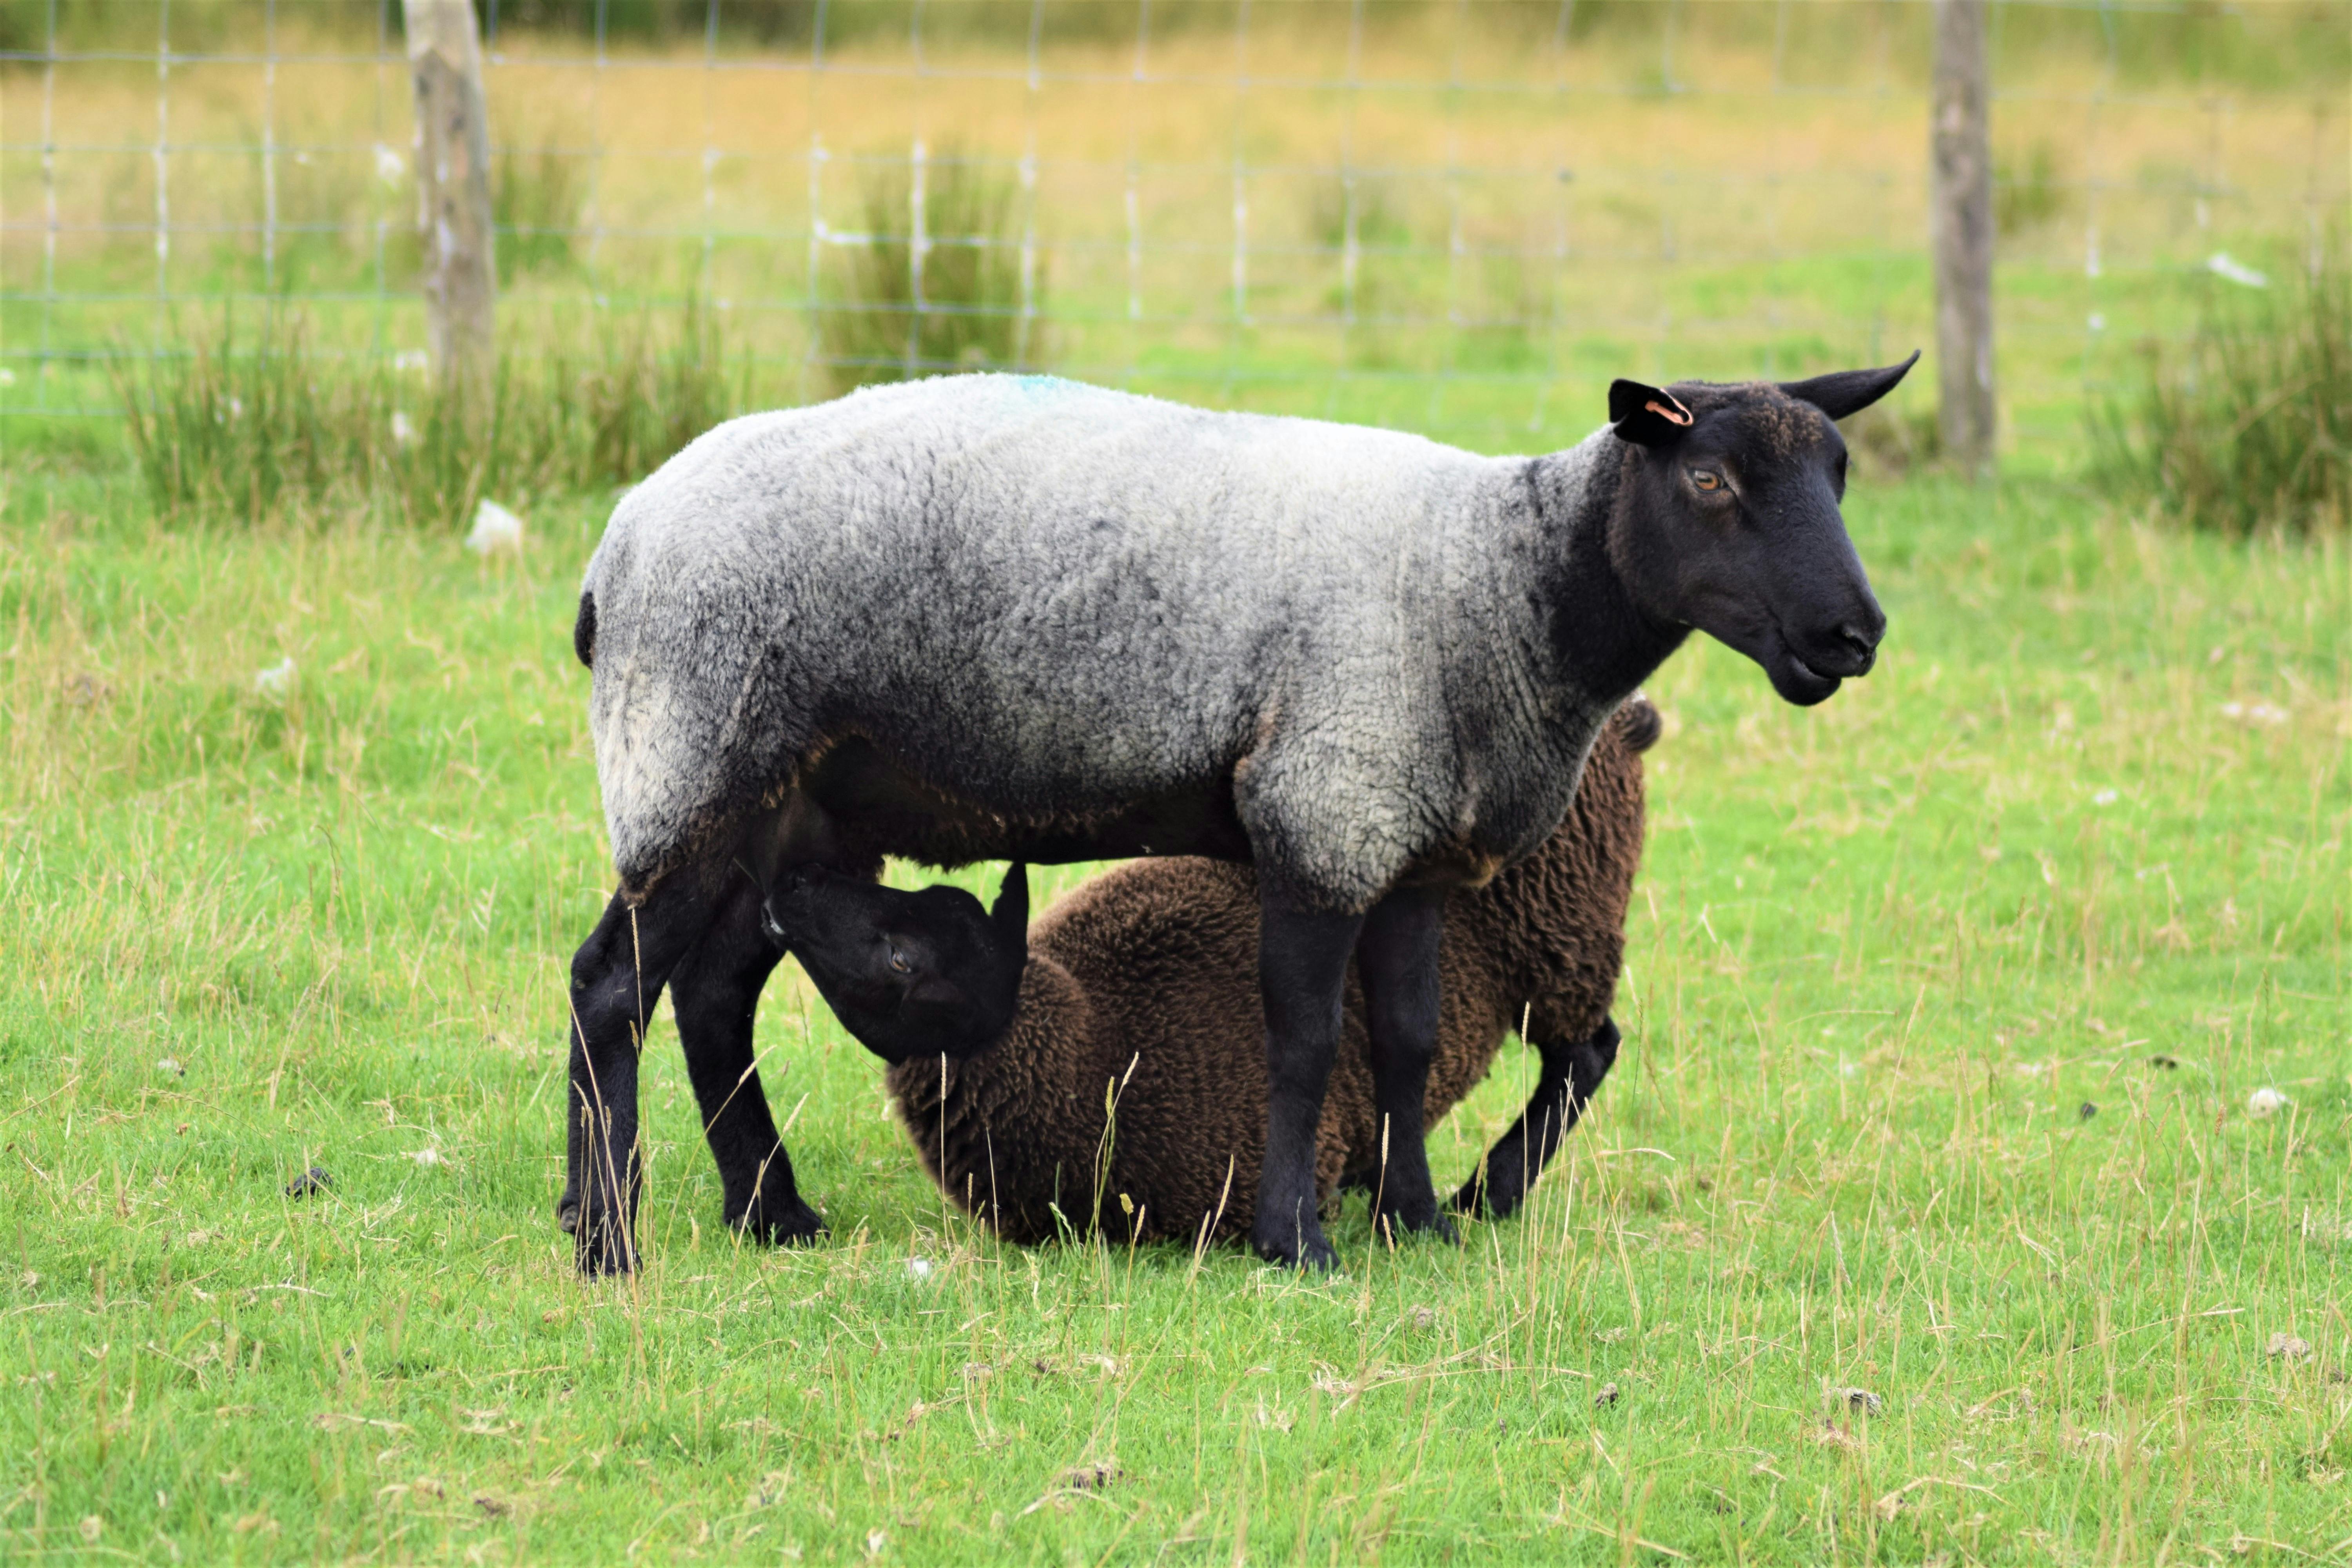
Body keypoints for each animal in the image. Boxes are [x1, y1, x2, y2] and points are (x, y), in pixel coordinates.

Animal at [765, 698, 1661, 1245]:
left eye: (904, 955)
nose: (794, 881)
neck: (1094, 1045)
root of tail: (1626, 720)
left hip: (1563, 924)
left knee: (1586, 1051)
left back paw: (1488, 1192)